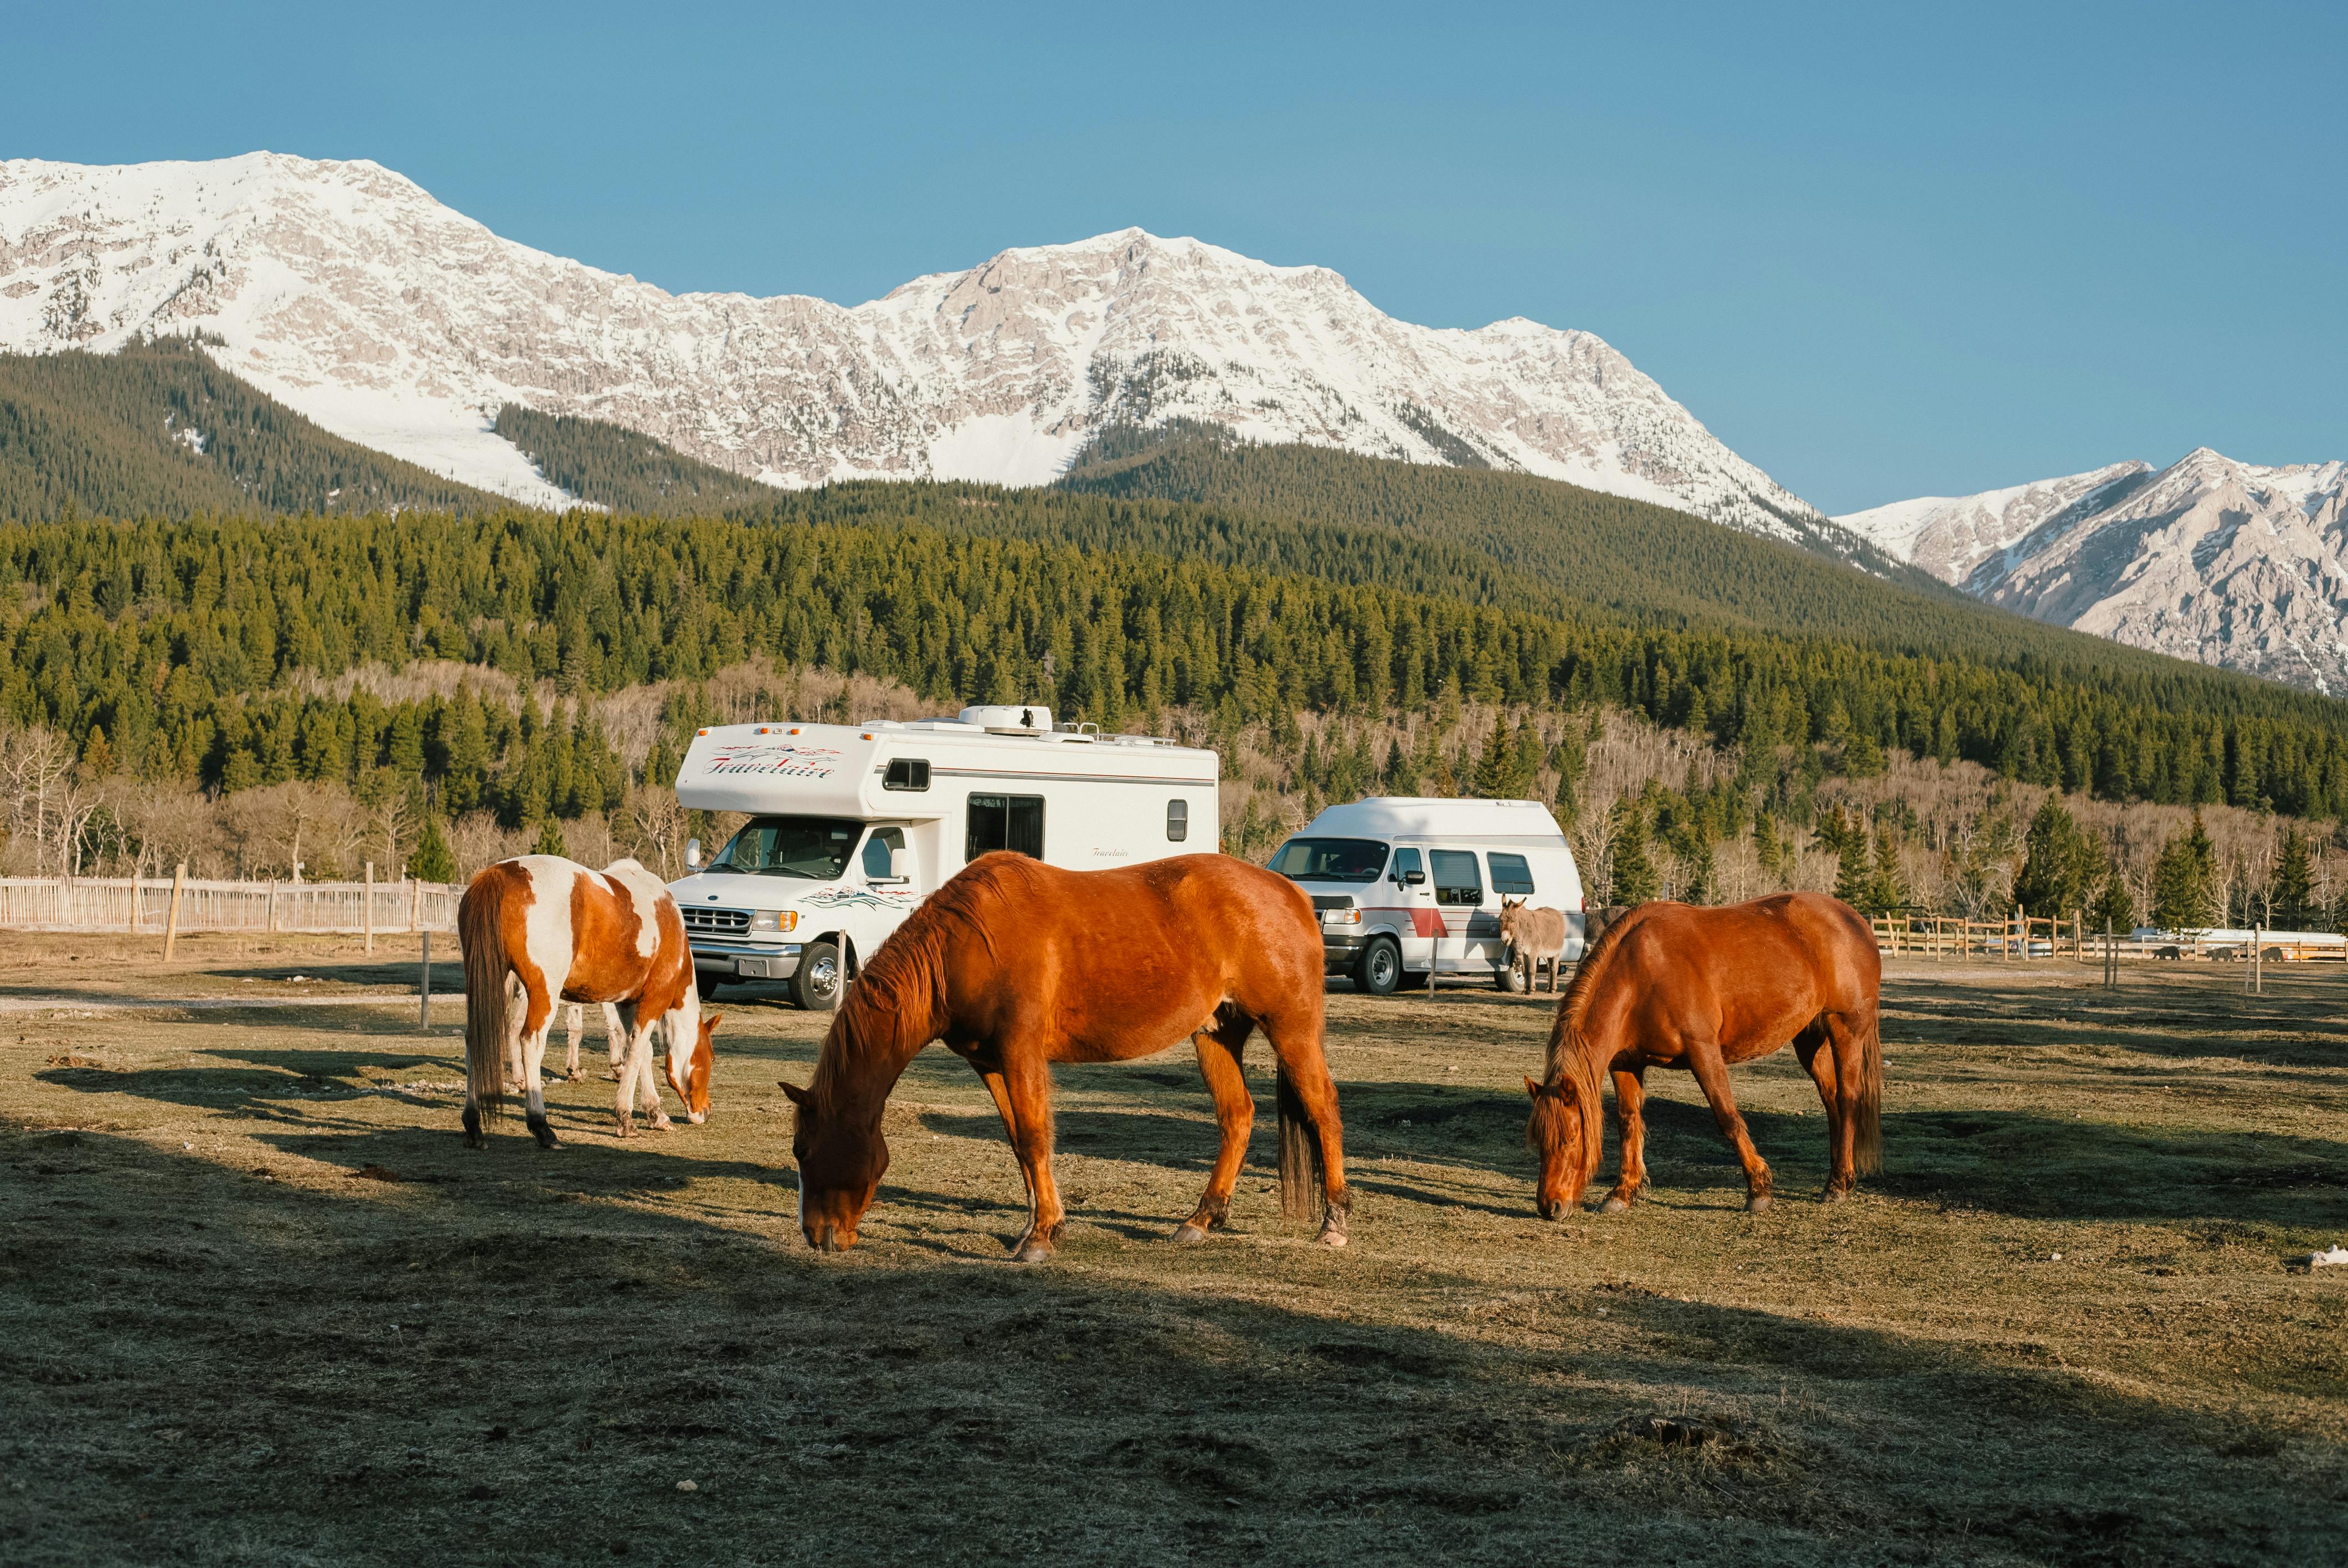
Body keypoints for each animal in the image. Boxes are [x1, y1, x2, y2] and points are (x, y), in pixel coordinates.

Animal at [458, 854, 720, 1148]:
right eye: (711, 1058)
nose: (705, 1112)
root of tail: (502, 873)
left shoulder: (627, 1004)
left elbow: (643, 1051)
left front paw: (656, 1114)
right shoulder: (654, 1001)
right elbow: (637, 1052)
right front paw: (625, 1118)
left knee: (474, 1038)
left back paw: (474, 1126)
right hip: (543, 994)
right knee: (530, 1041)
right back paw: (541, 1126)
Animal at [778, 851, 1350, 1260]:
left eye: (803, 1150)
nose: (815, 1235)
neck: (966, 942)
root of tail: (1291, 892)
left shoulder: (1020, 1053)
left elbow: (1034, 1136)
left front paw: (1040, 1238)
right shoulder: (989, 1062)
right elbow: (1018, 1142)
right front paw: (1038, 1225)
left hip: (1291, 1030)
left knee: (1323, 1109)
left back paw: (1335, 1223)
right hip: (1215, 1034)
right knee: (1238, 1116)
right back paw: (1200, 1221)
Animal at [1497, 899, 1569, 992]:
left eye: (1513, 921)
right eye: (1500, 920)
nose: (1504, 940)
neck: (1522, 931)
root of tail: (1557, 912)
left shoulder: (1533, 954)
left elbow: (1532, 971)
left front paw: (1532, 990)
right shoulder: (1520, 954)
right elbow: (1525, 971)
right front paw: (1525, 990)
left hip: (1556, 952)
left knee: (1555, 968)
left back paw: (1553, 989)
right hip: (1546, 954)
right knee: (1549, 968)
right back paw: (1548, 989)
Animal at [1524, 892, 1882, 1217]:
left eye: (1571, 1138)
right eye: (1537, 1139)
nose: (1550, 1206)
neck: (1640, 974)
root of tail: (1855, 921)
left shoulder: (1703, 1051)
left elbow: (1728, 1118)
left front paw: (1759, 1190)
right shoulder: (1626, 1063)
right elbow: (1629, 1122)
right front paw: (1622, 1193)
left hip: (1845, 1031)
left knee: (1848, 1099)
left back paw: (1838, 1184)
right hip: (1810, 1041)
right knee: (1832, 1101)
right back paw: (1837, 1176)